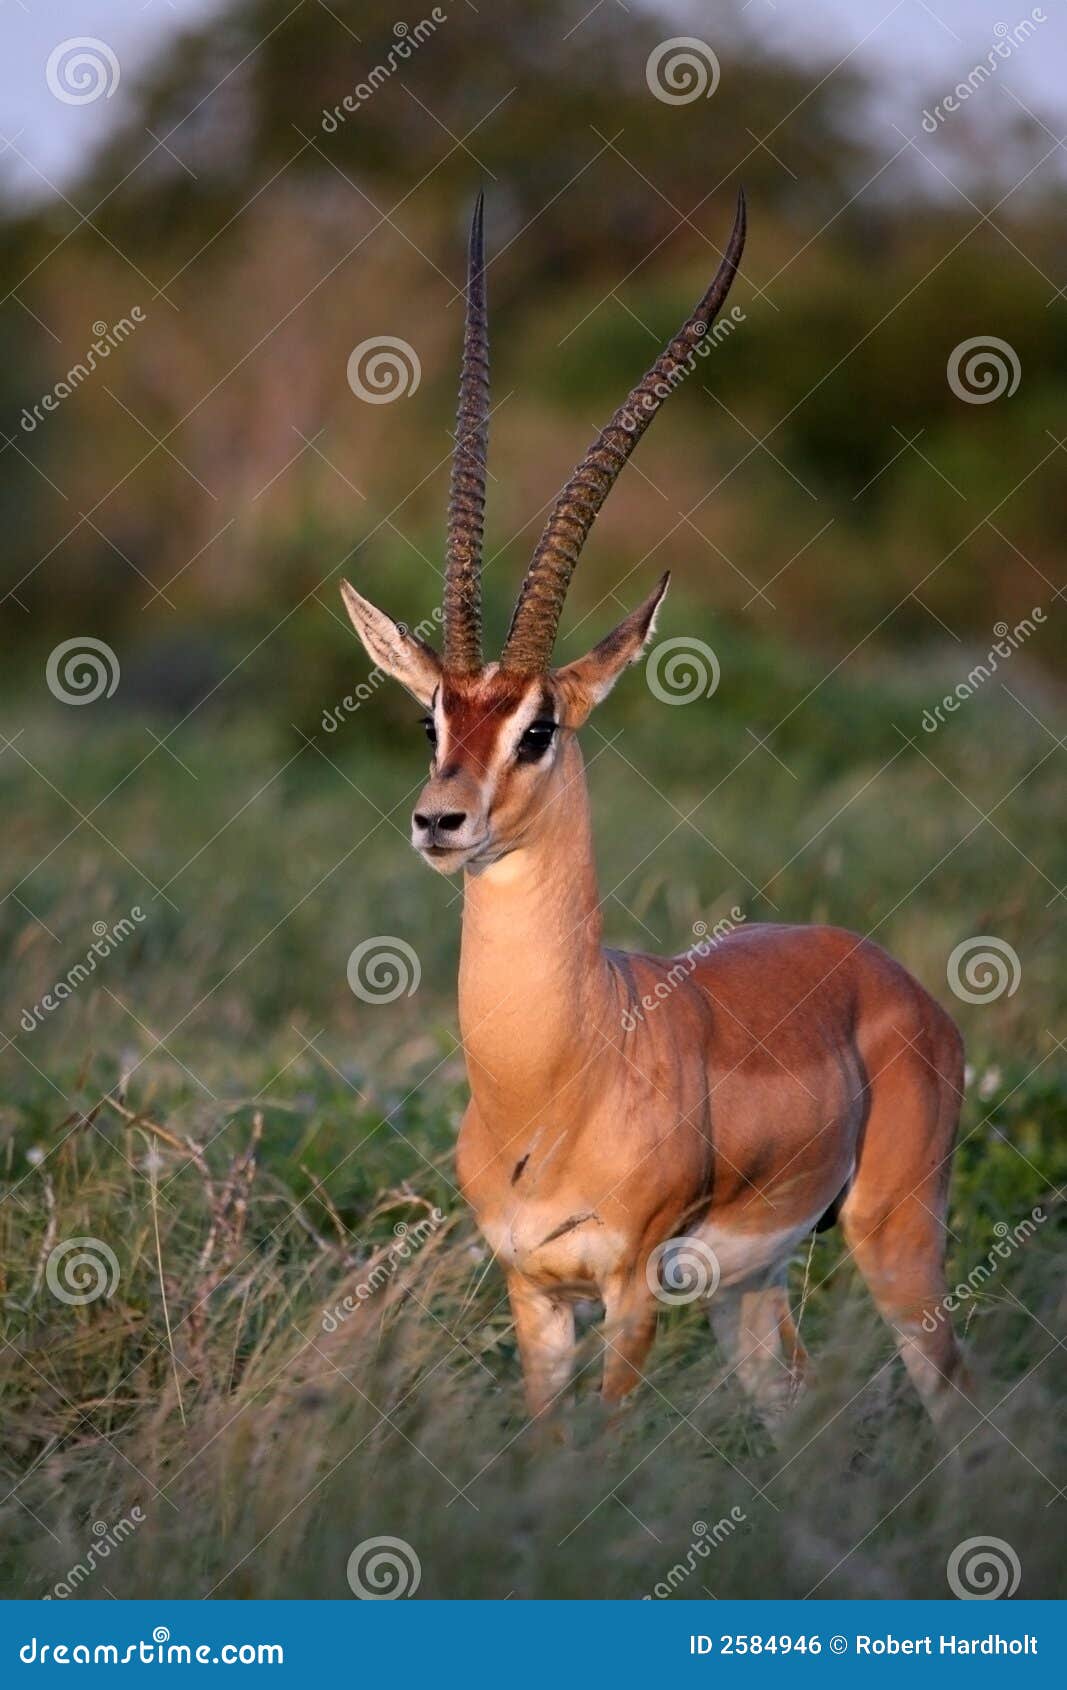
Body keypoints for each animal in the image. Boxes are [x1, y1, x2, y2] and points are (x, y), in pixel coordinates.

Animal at [340, 192, 972, 1433]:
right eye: (430, 719)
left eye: (537, 726)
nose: (440, 823)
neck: (559, 1073)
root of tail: (889, 975)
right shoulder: (534, 1295)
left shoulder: (629, 1288)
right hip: (753, 1284)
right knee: (792, 1402)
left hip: (892, 1239)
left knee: (957, 1393)